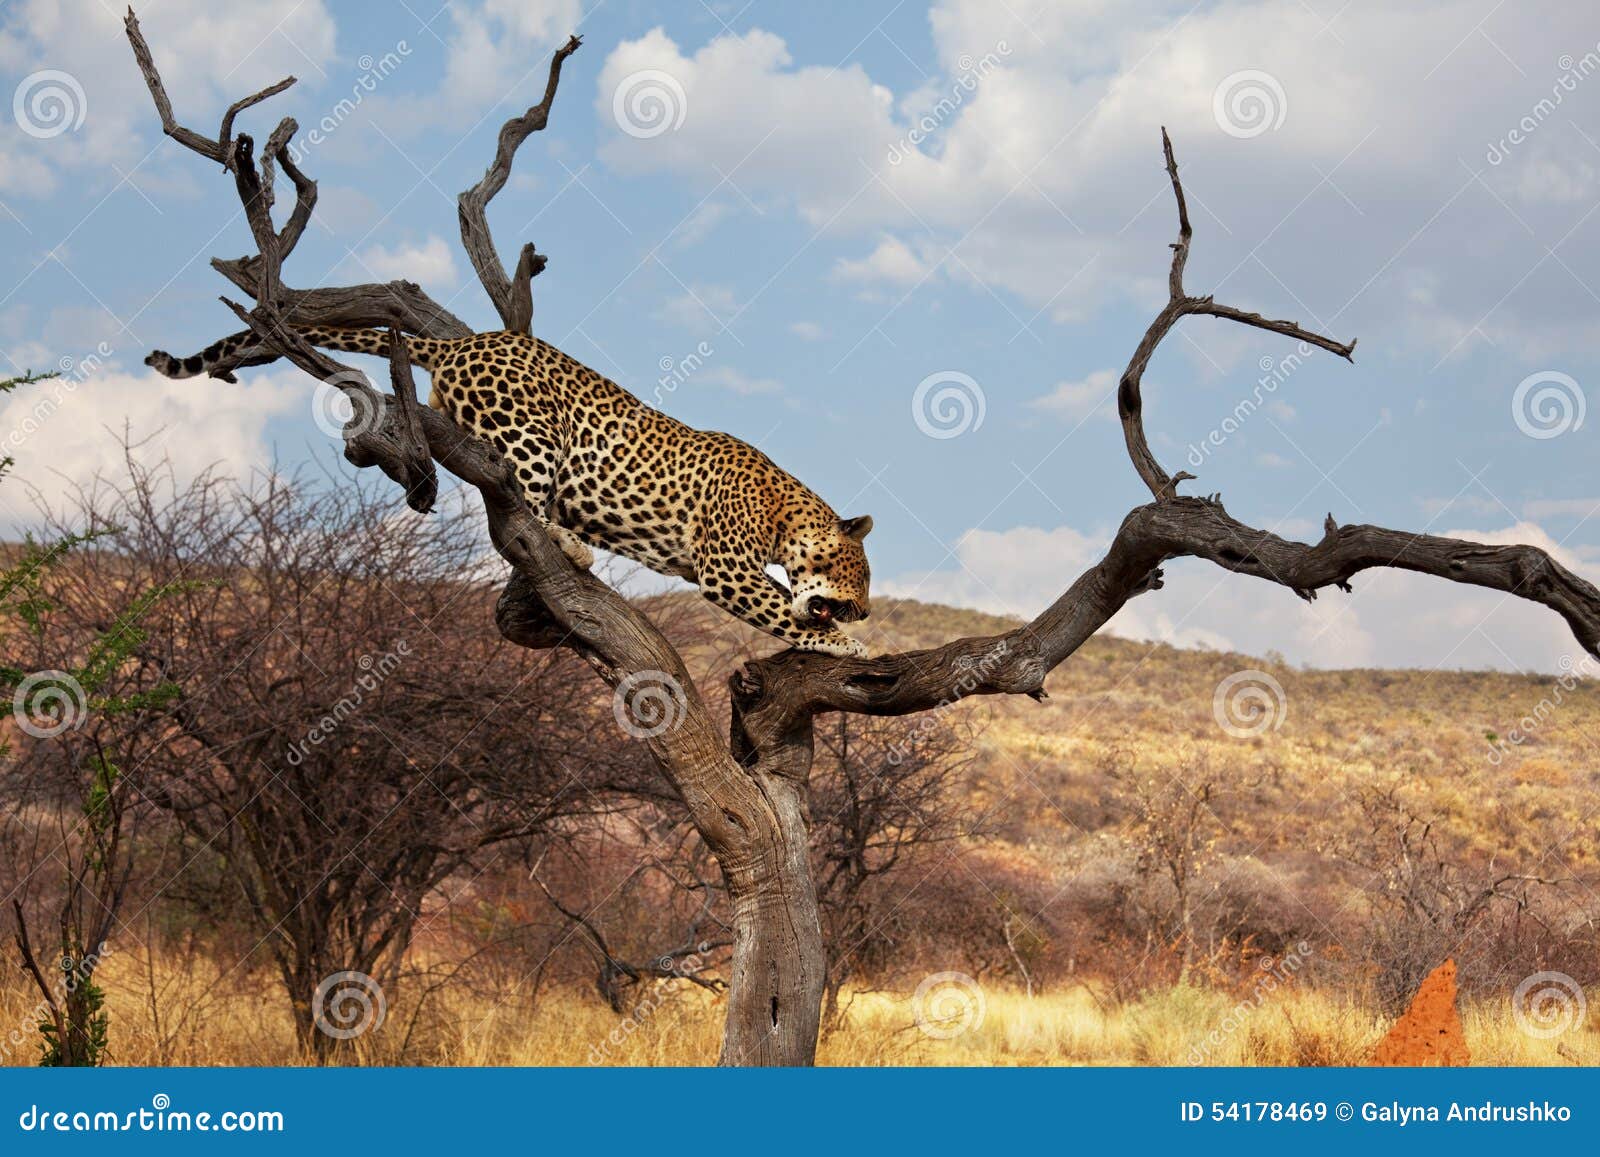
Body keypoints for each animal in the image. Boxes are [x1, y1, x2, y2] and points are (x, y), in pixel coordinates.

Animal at [147, 327, 875, 657]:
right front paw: (855, 647)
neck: (785, 513)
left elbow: (792, 609)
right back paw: (567, 543)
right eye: (860, 576)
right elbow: (791, 613)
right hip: (531, 429)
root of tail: (463, 341)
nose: (868, 612)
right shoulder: (726, 570)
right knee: (517, 500)